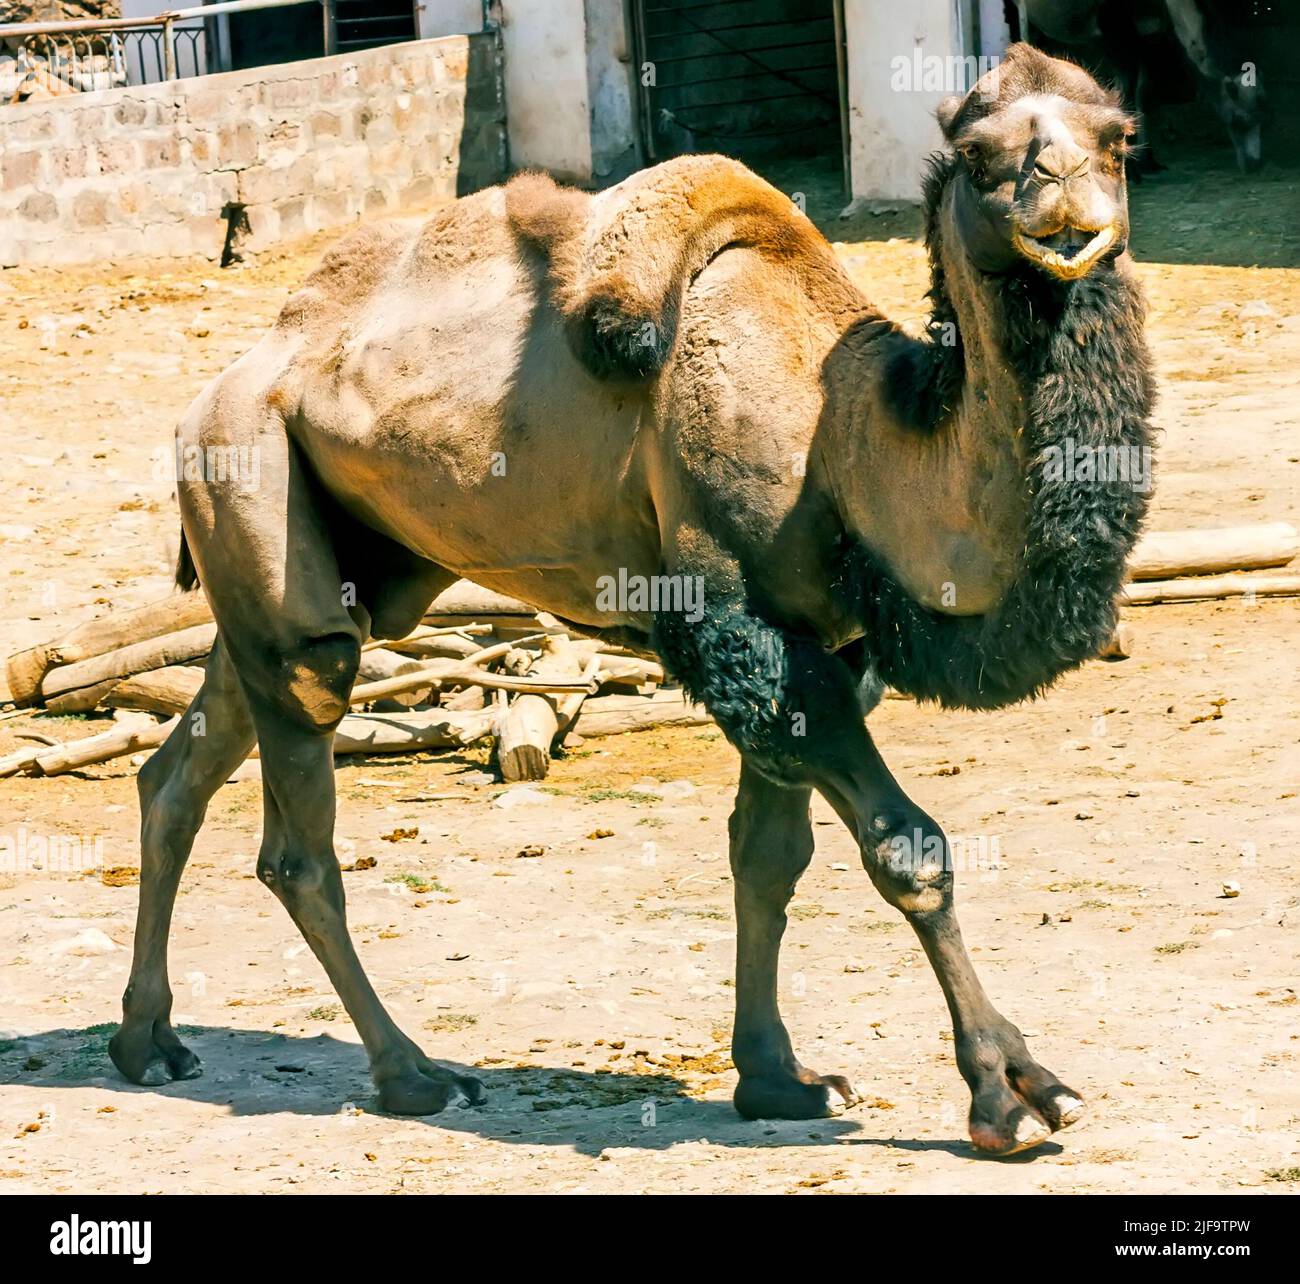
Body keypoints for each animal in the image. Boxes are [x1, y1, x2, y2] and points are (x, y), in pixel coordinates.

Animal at [109, 43, 1155, 1156]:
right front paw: (1015, 1092)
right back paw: (413, 1075)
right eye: (980, 149)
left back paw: (149, 1044)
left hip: (326, 567)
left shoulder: (823, 641)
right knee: (299, 824)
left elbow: (768, 854)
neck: (844, 432)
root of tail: (214, 392)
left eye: (1117, 138)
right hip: (250, 481)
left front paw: (779, 1081)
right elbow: (906, 848)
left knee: (180, 770)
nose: (1067, 195)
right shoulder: (741, 629)